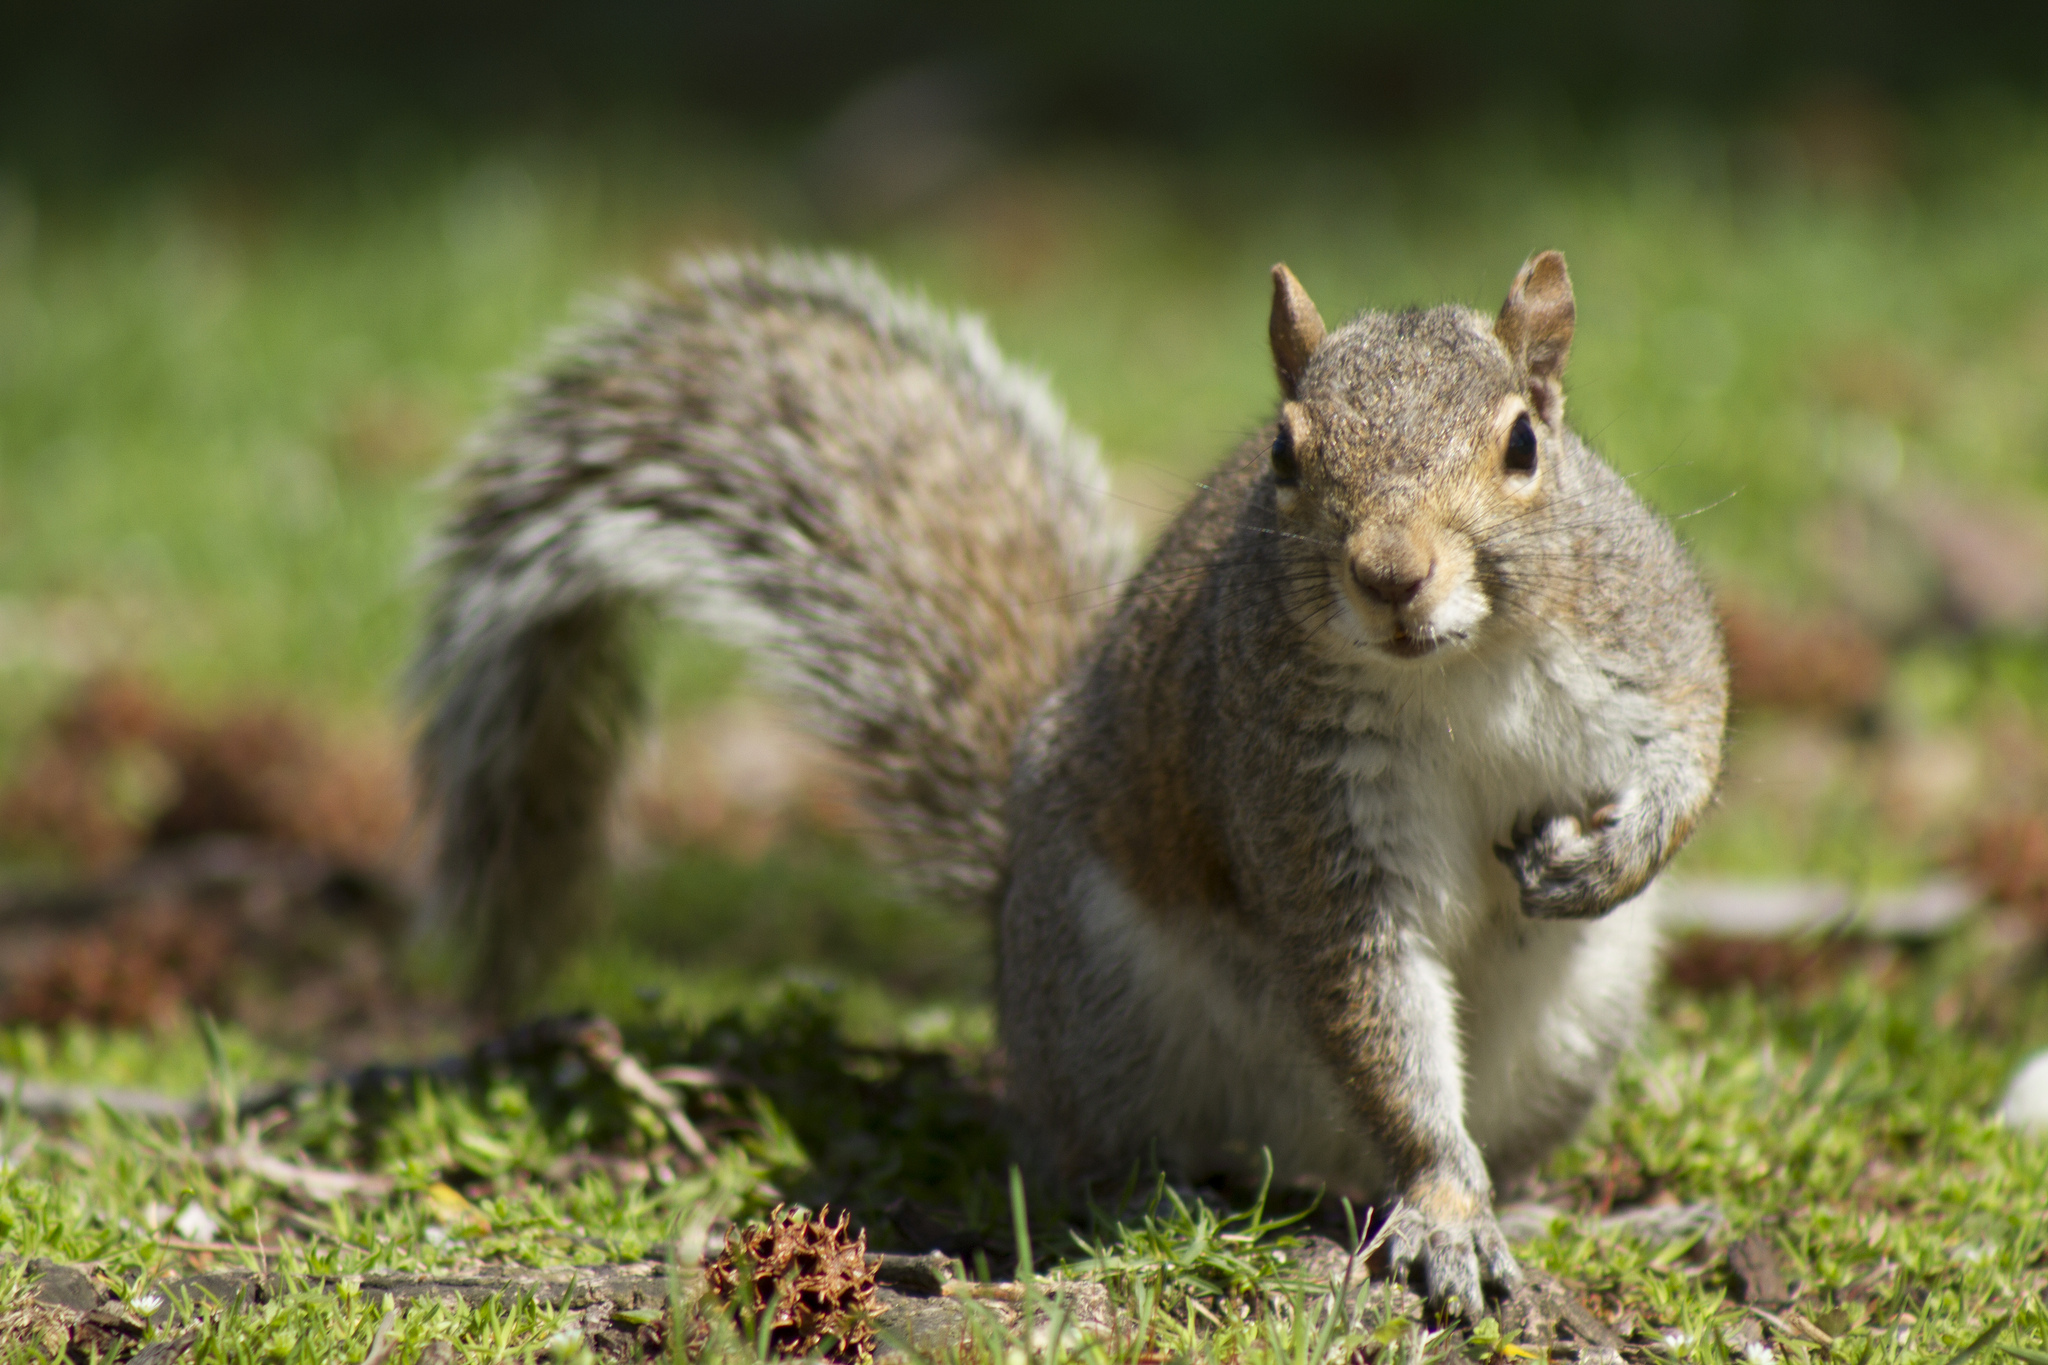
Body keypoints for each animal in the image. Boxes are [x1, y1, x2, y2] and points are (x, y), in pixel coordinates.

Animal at [411, 249, 1727, 1314]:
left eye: (1522, 444)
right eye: (1285, 453)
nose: (1389, 575)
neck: (1453, 668)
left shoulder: (1642, 641)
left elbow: (1692, 746)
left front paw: (1609, 857)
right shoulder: (1302, 802)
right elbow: (1369, 1001)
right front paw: (1446, 1214)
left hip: (1579, 1022)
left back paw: (1556, 1201)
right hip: (1103, 995)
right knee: (1097, 1152)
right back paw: (1165, 1197)